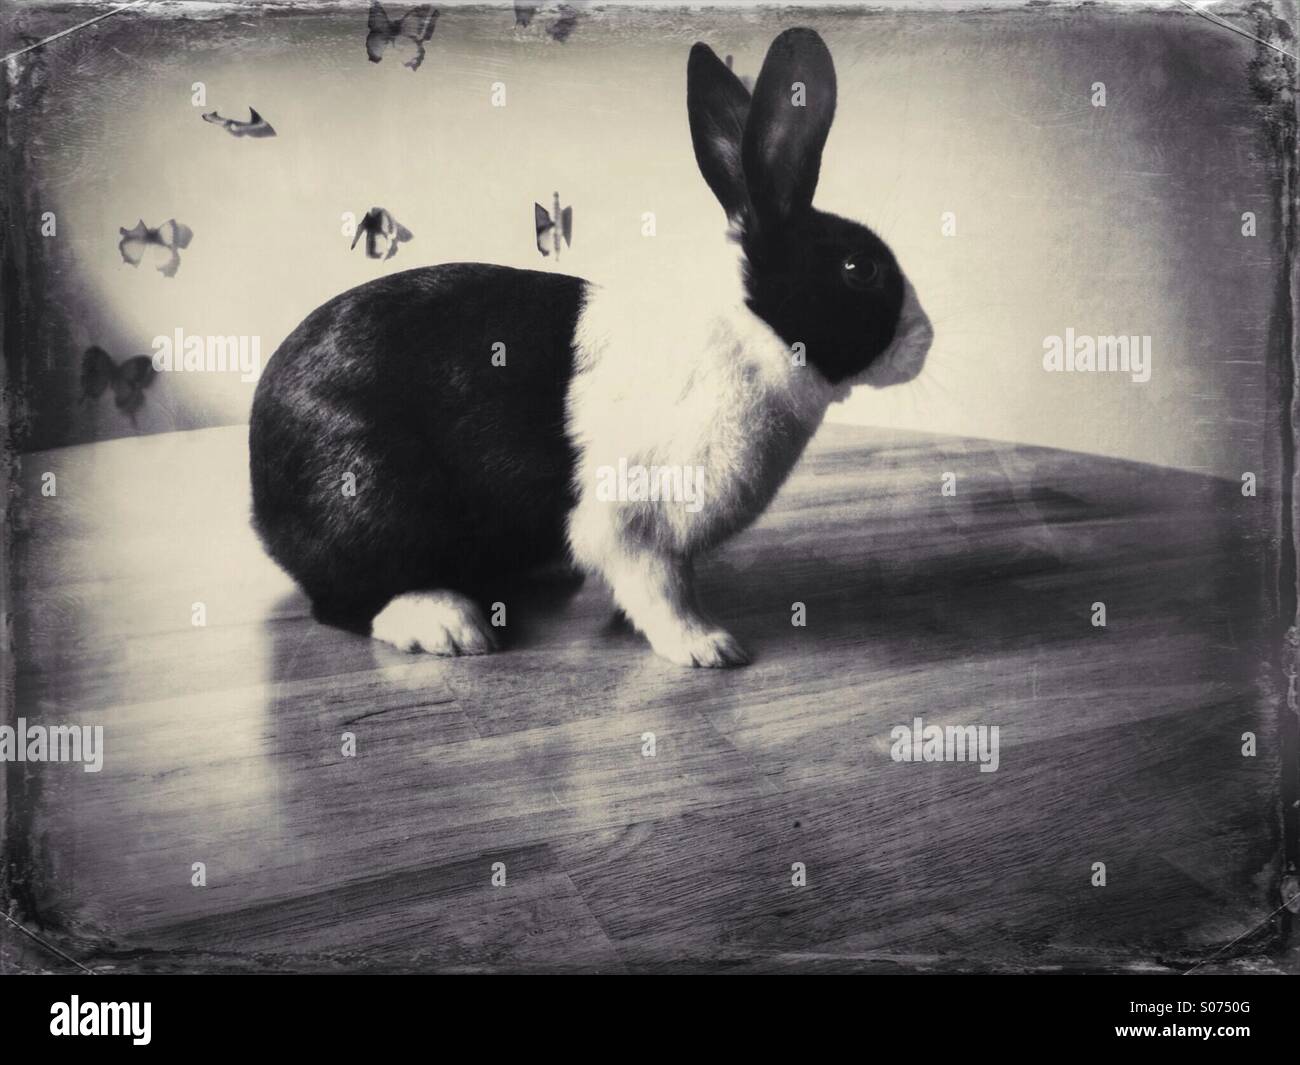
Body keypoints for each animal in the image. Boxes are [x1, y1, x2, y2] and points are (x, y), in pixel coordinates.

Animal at [249, 27, 933, 668]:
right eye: (859, 269)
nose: (925, 340)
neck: (748, 334)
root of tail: (262, 496)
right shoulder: (633, 525)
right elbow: (662, 591)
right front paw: (707, 647)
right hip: (370, 498)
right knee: (347, 597)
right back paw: (445, 622)